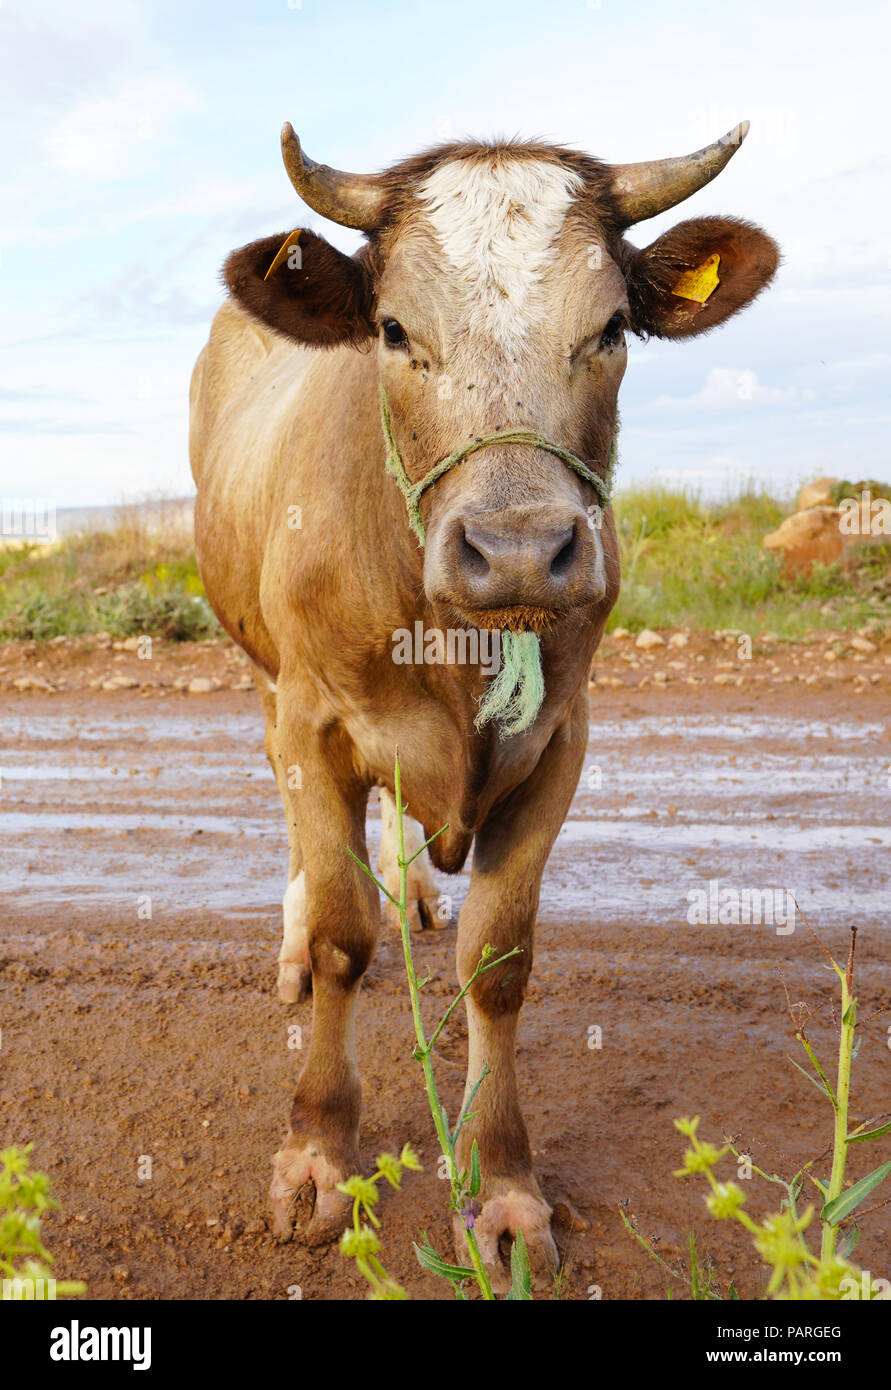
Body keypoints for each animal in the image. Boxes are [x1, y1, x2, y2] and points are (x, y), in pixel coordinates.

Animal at [189, 120, 778, 1289]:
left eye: (611, 328)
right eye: (392, 329)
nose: (516, 550)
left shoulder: (562, 742)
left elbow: (500, 964)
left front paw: (502, 1187)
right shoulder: (314, 720)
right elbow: (343, 932)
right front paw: (317, 1153)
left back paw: (413, 891)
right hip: (263, 671)